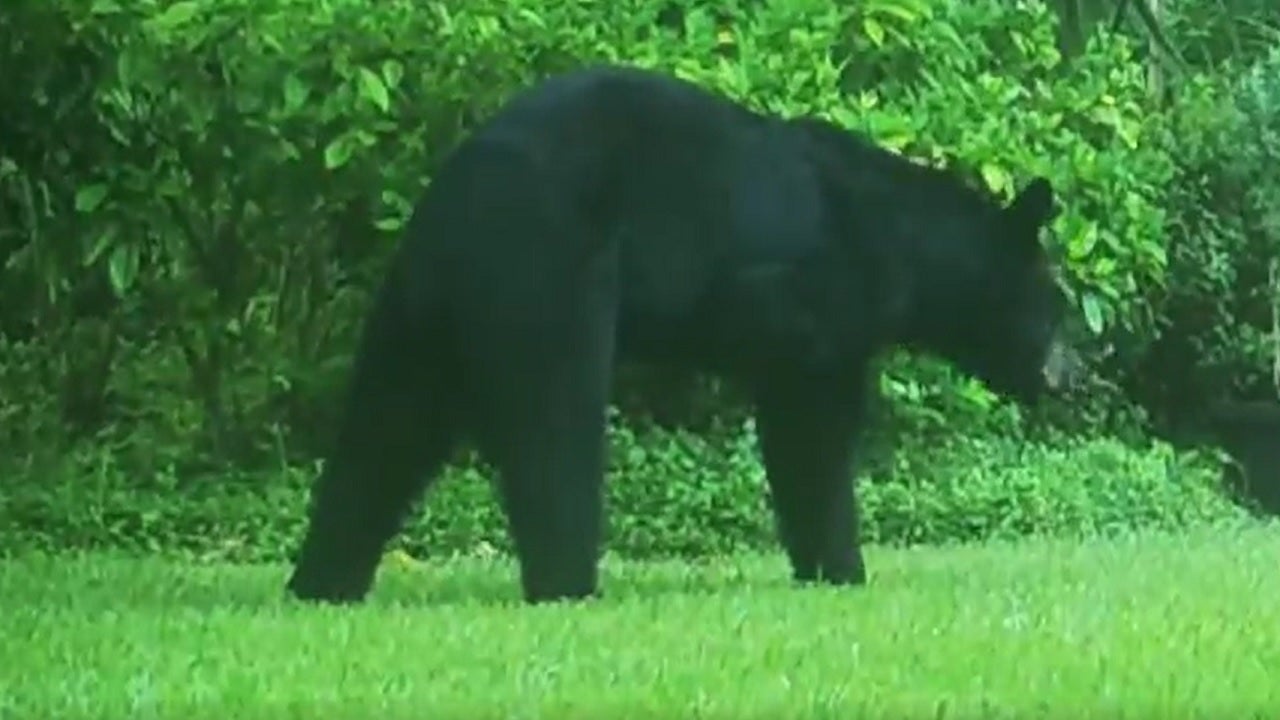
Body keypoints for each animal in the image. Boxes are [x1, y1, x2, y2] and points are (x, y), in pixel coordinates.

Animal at [285, 64, 1078, 606]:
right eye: (1060, 306)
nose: (1072, 373)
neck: (907, 249)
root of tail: (449, 200)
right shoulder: (817, 294)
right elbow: (811, 428)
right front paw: (842, 566)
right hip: (545, 270)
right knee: (554, 422)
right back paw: (569, 582)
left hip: (419, 310)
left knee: (387, 426)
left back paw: (322, 581)